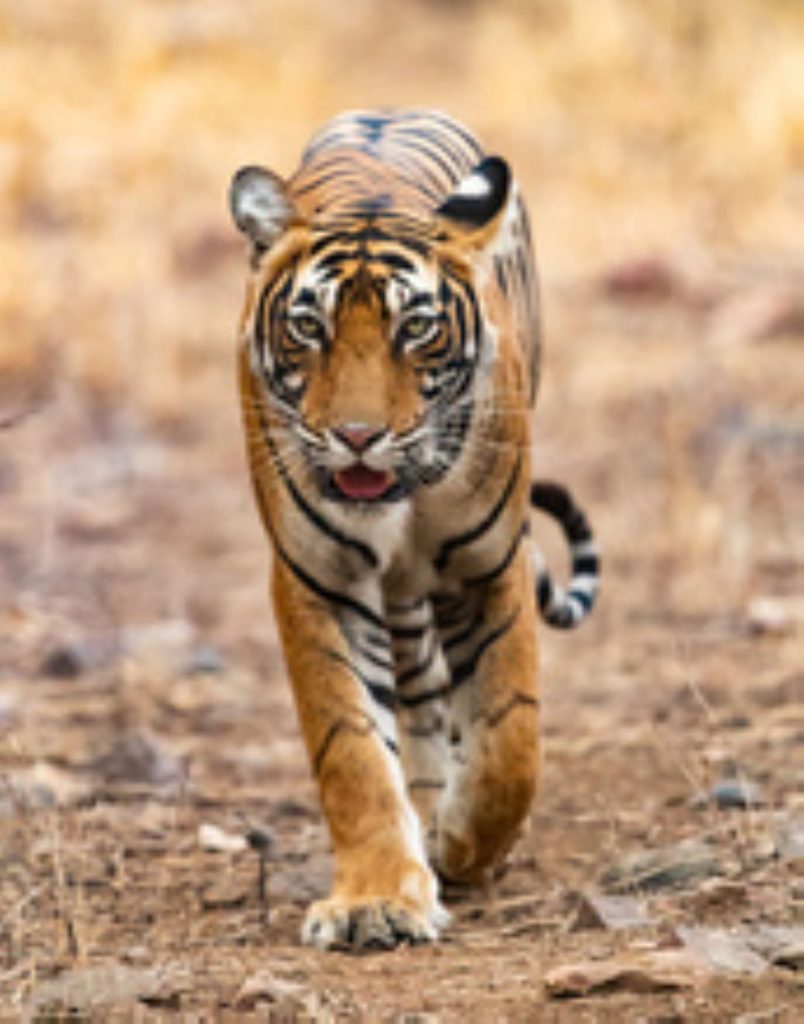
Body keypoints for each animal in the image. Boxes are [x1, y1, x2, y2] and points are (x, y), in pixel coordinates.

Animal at [228, 109, 599, 951]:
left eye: (417, 328)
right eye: (309, 327)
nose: (358, 437)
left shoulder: (489, 568)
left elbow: (510, 740)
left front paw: (465, 845)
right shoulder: (319, 580)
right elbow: (353, 750)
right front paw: (376, 899)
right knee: (419, 694)